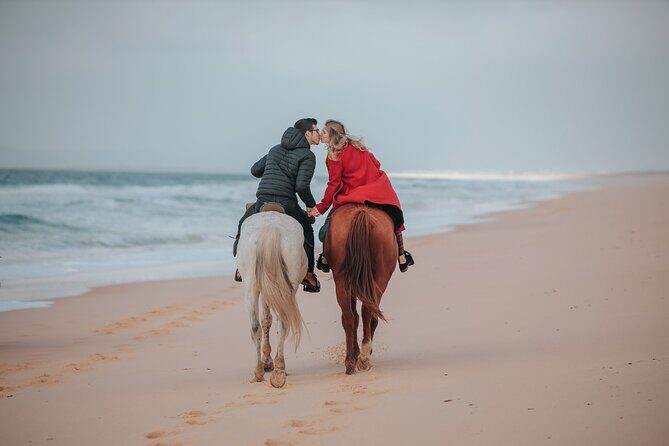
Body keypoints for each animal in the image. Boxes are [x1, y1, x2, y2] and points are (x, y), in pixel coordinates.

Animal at [236, 206, 307, 388]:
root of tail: (270, 229)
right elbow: (267, 320)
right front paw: (269, 361)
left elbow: (265, 320)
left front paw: (267, 361)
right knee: (278, 324)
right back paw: (278, 370)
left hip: (251, 288)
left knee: (256, 326)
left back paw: (261, 371)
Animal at [325, 204, 397, 375]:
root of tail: (361, 213)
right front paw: (364, 351)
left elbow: (355, 316)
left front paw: (356, 352)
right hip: (380, 278)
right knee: (366, 312)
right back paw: (364, 357)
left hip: (342, 280)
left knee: (349, 317)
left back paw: (351, 361)